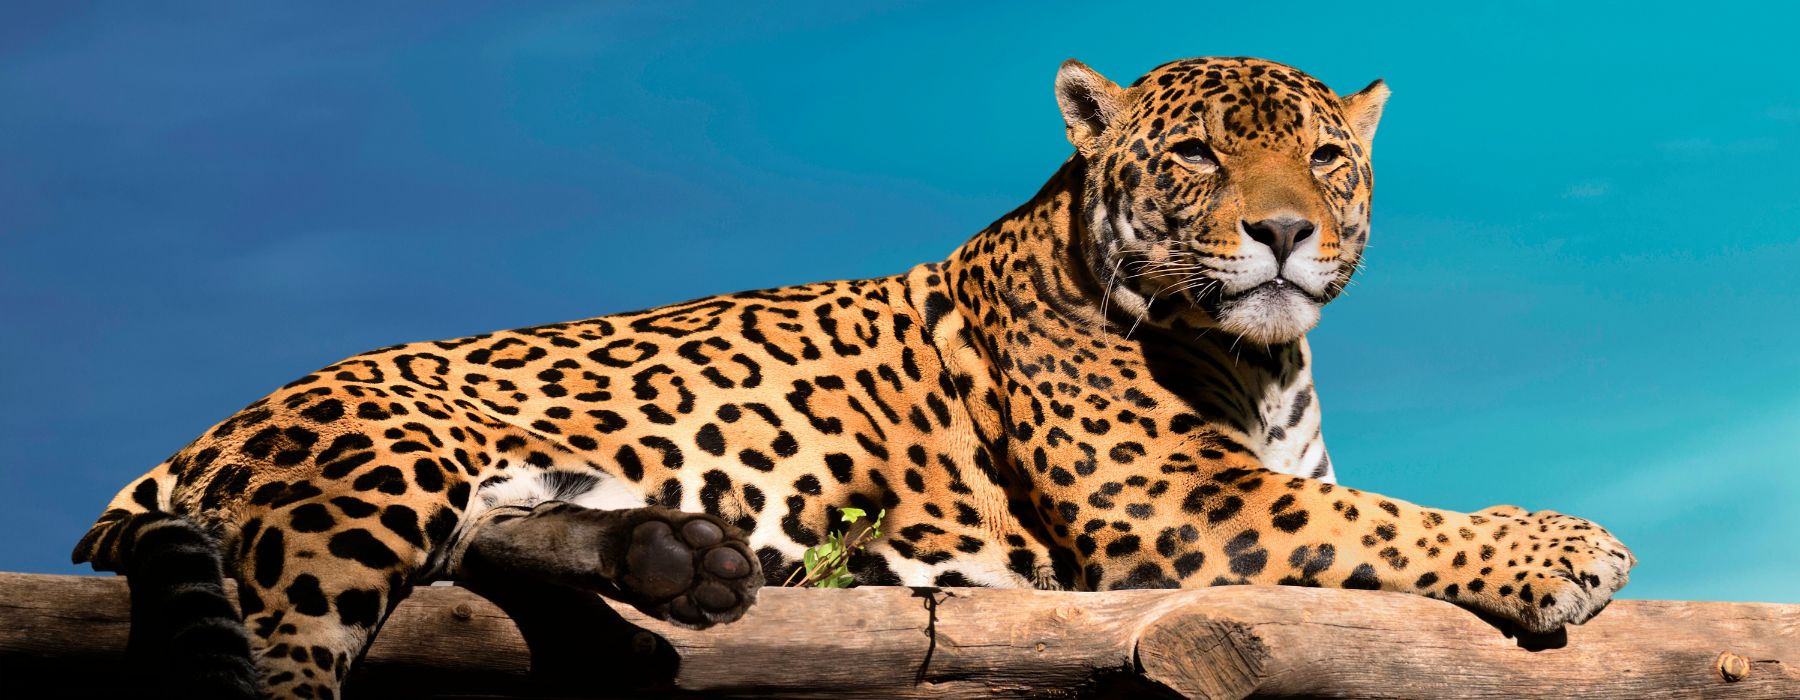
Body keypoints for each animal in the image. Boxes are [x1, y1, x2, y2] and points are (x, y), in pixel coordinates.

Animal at [74, 56, 1633, 699]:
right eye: (1196, 153)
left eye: (1322, 155)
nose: (1286, 234)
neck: (1264, 361)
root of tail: (207, 431)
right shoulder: (1185, 506)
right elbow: (1394, 524)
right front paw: (1563, 548)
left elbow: (1382, 508)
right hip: (362, 485)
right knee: (294, 653)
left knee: (499, 541)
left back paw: (676, 562)